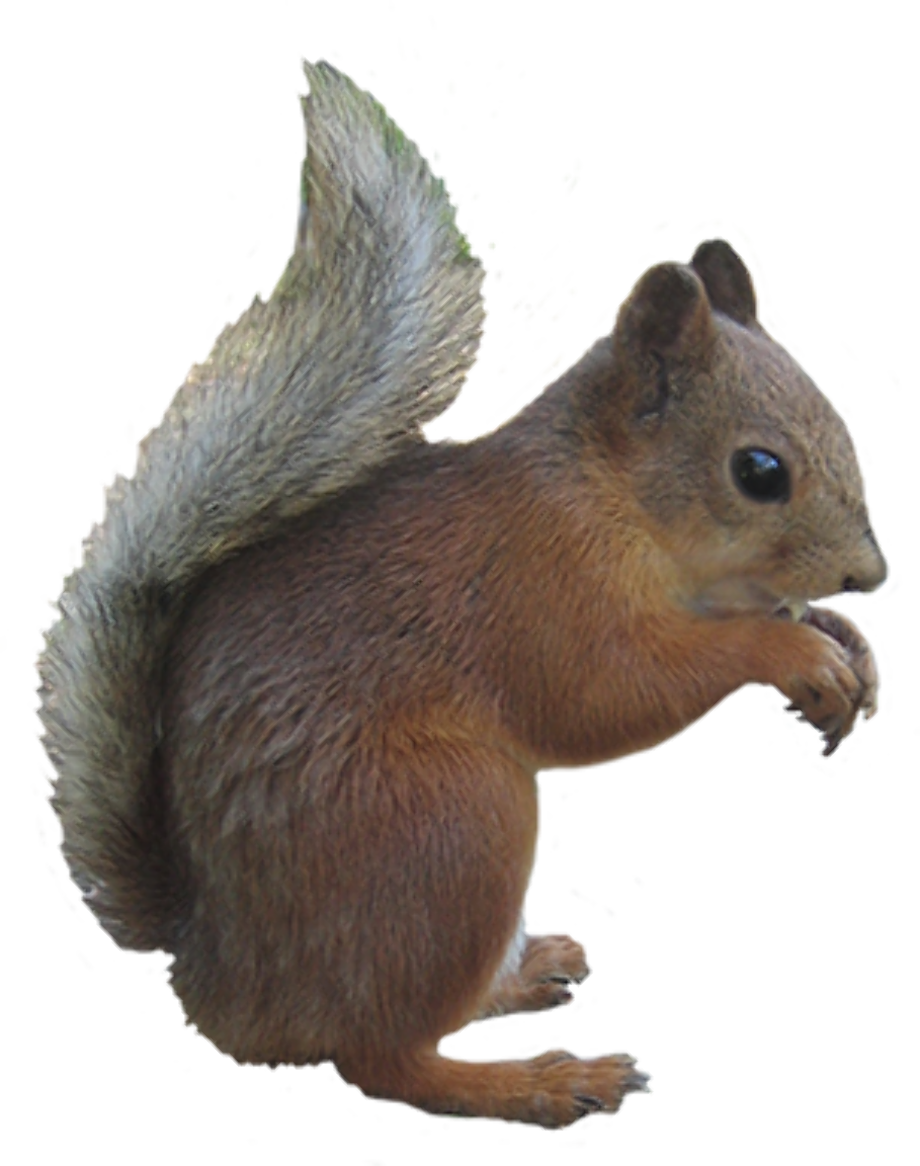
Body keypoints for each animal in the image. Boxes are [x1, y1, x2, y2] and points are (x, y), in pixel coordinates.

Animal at [33, 55, 889, 1133]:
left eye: (834, 414)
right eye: (760, 471)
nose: (873, 576)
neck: (612, 497)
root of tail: (218, 971)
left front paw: (846, 648)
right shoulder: (539, 582)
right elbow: (608, 694)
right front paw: (789, 652)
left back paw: (521, 977)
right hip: (447, 825)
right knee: (384, 1058)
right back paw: (539, 1083)